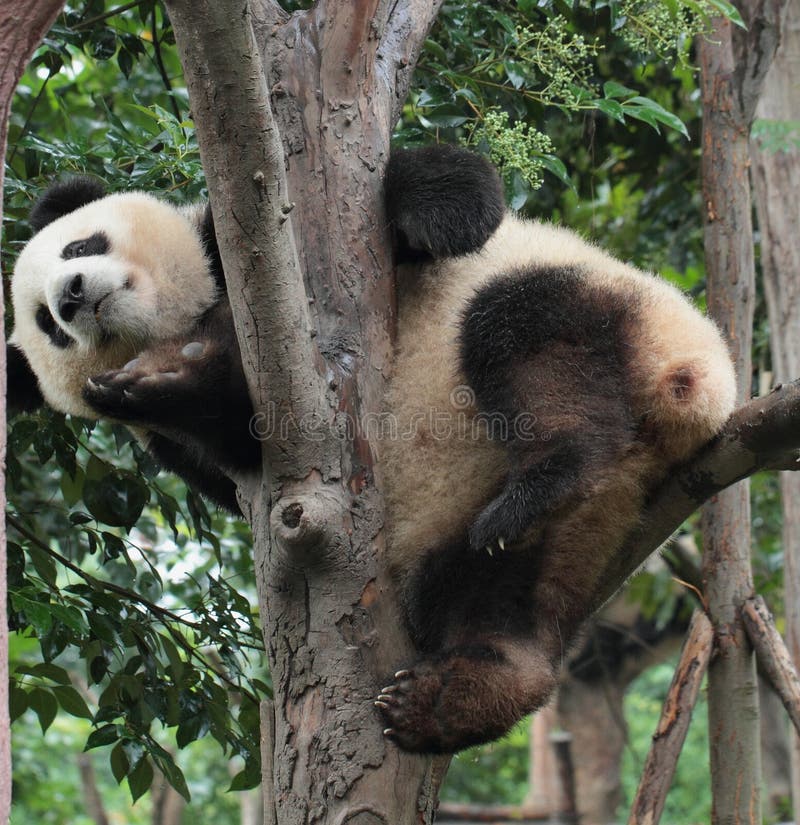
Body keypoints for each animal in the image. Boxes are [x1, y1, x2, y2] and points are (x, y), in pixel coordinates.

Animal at [7, 146, 737, 755]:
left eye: (81, 242)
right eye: (47, 325)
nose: (71, 296)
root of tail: (685, 406)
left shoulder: (254, 247)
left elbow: (454, 197)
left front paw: (421, 204)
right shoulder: (193, 444)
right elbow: (228, 428)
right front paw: (157, 380)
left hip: (629, 314)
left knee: (521, 326)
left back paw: (553, 471)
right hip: (523, 538)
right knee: (494, 597)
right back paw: (454, 695)